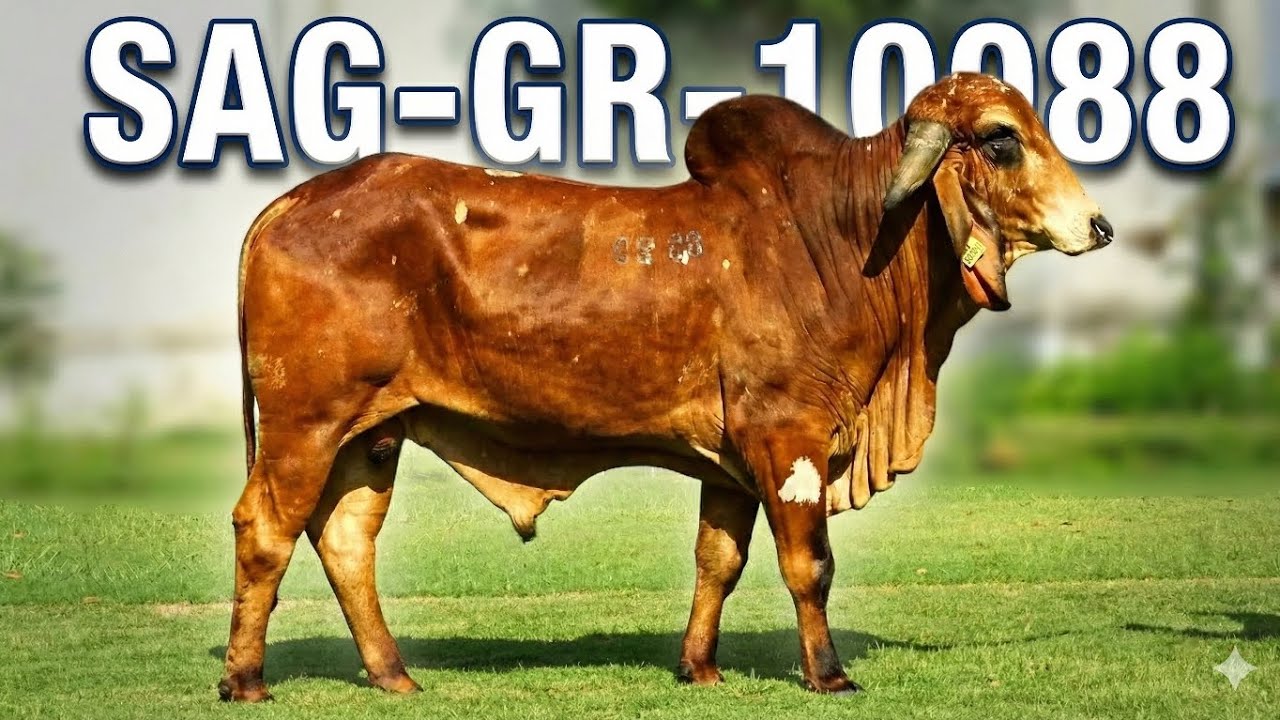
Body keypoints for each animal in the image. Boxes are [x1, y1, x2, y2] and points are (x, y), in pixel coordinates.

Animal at [219, 72, 1113, 701]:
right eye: (1000, 140)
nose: (1099, 225)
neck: (841, 236)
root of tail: (284, 204)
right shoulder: (788, 437)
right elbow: (809, 564)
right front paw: (826, 674)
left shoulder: (733, 464)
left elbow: (718, 560)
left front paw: (699, 667)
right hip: (305, 423)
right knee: (265, 531)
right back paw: (246, 679)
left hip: (372, 433)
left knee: (345, 541)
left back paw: (392, 674)